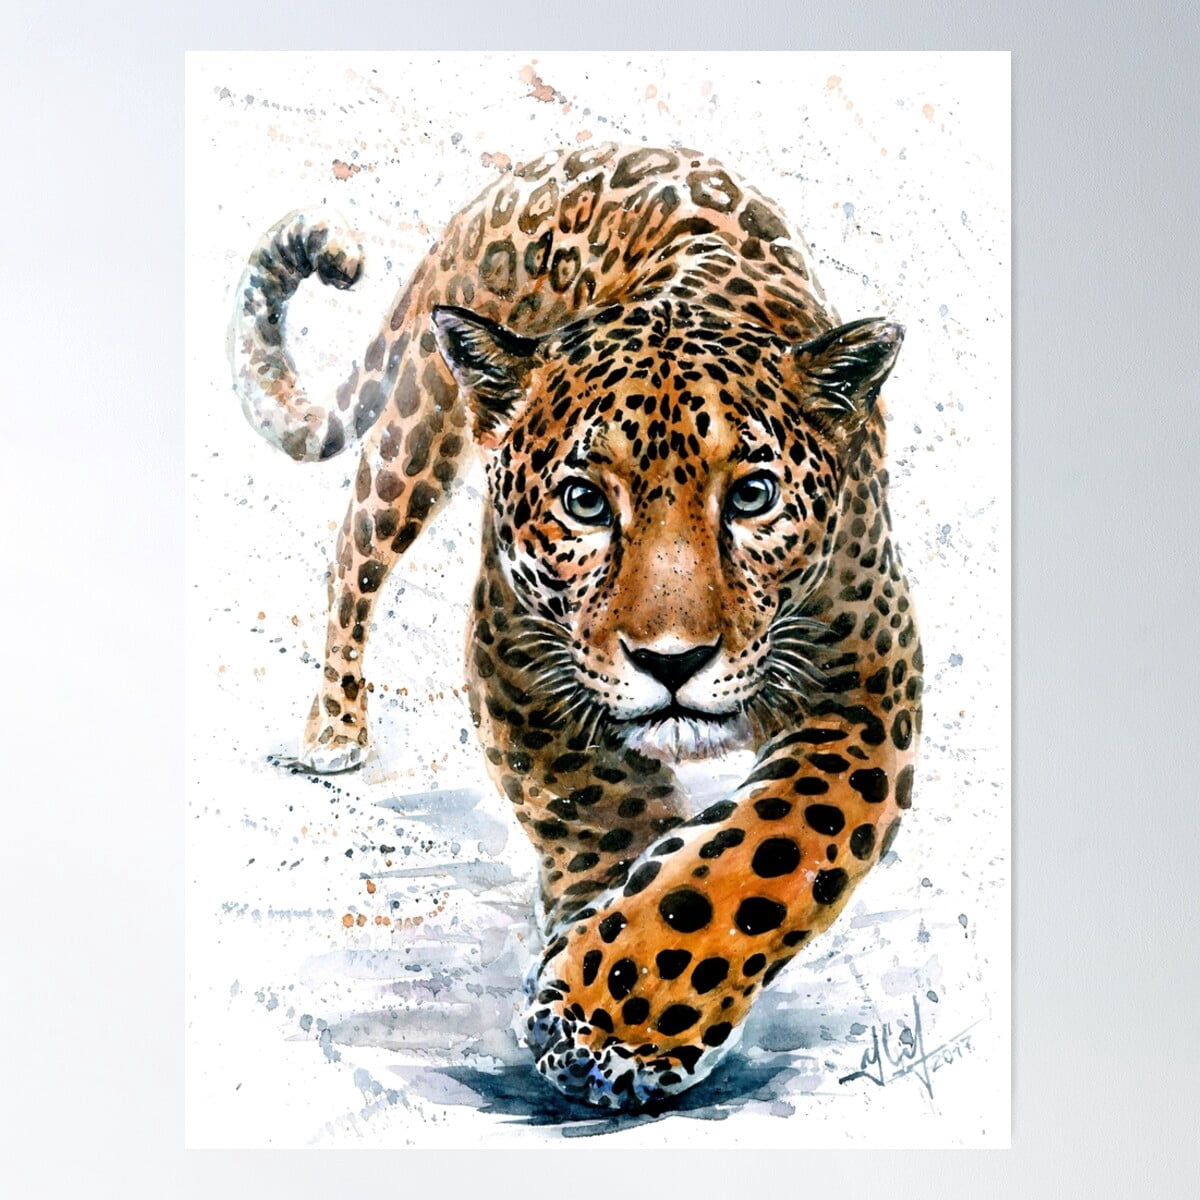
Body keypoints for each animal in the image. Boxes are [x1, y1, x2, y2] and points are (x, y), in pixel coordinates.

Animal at [229, 143, 923, 1110]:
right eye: (585, 502)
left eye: (753, 495)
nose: (672, 661)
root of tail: (549, 160)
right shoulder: (517, 657)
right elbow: (598, 807)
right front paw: (604, 992)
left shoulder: (867, 691)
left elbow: (766, 851)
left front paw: (616, 1016)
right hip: (417, 428)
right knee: (352, 557)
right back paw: (334, 728)